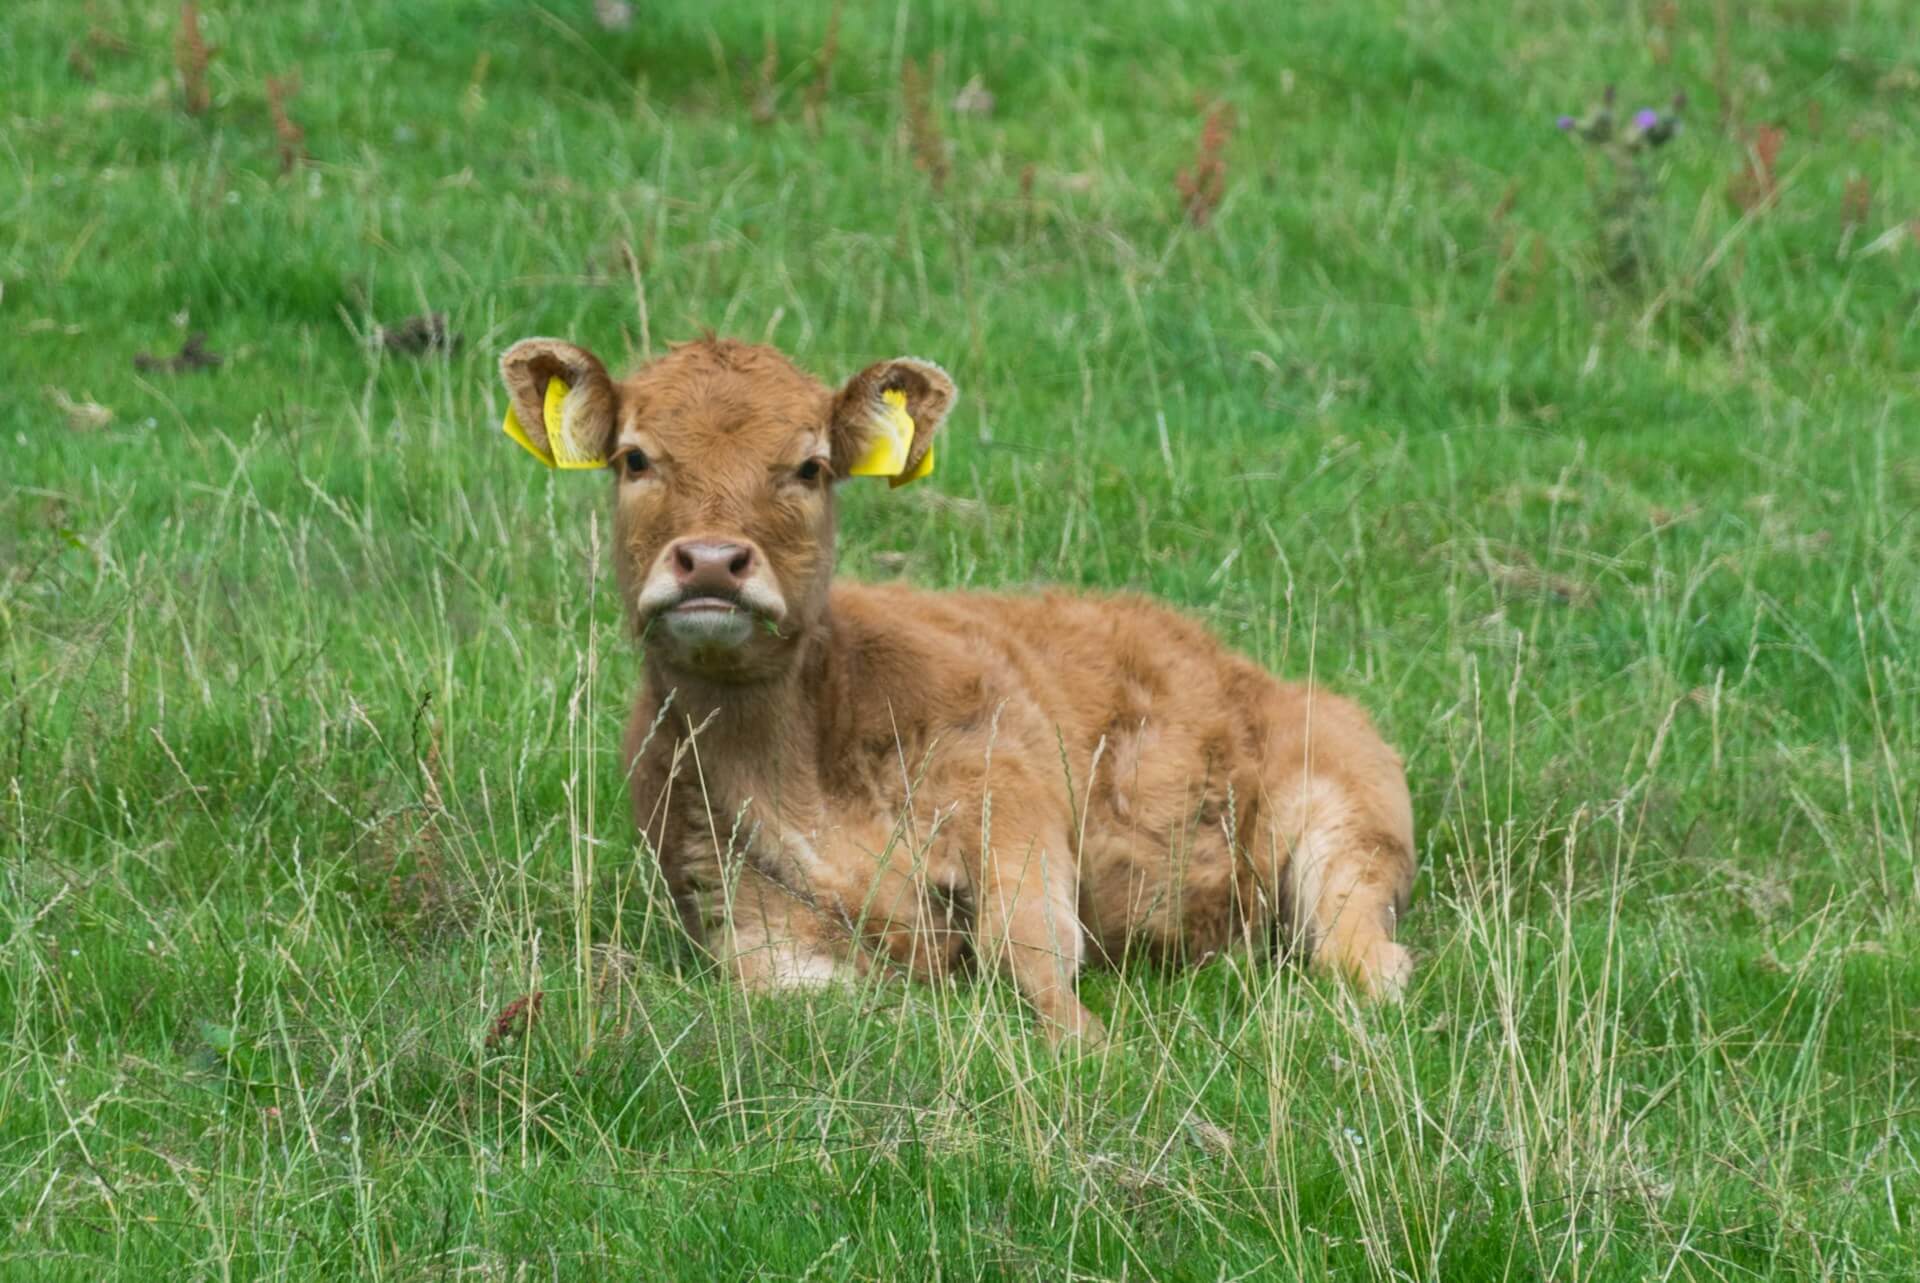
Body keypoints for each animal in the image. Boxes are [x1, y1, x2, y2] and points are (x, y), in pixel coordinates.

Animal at [496, 335, 1416, 1044]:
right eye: (634, 457)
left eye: (810, 466)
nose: (714, 562)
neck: (802, 775)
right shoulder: (741, 917)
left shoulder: (1010, 794)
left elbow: (1032, 952)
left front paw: (1083, 1038)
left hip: (1349, 812)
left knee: (1360, 948)